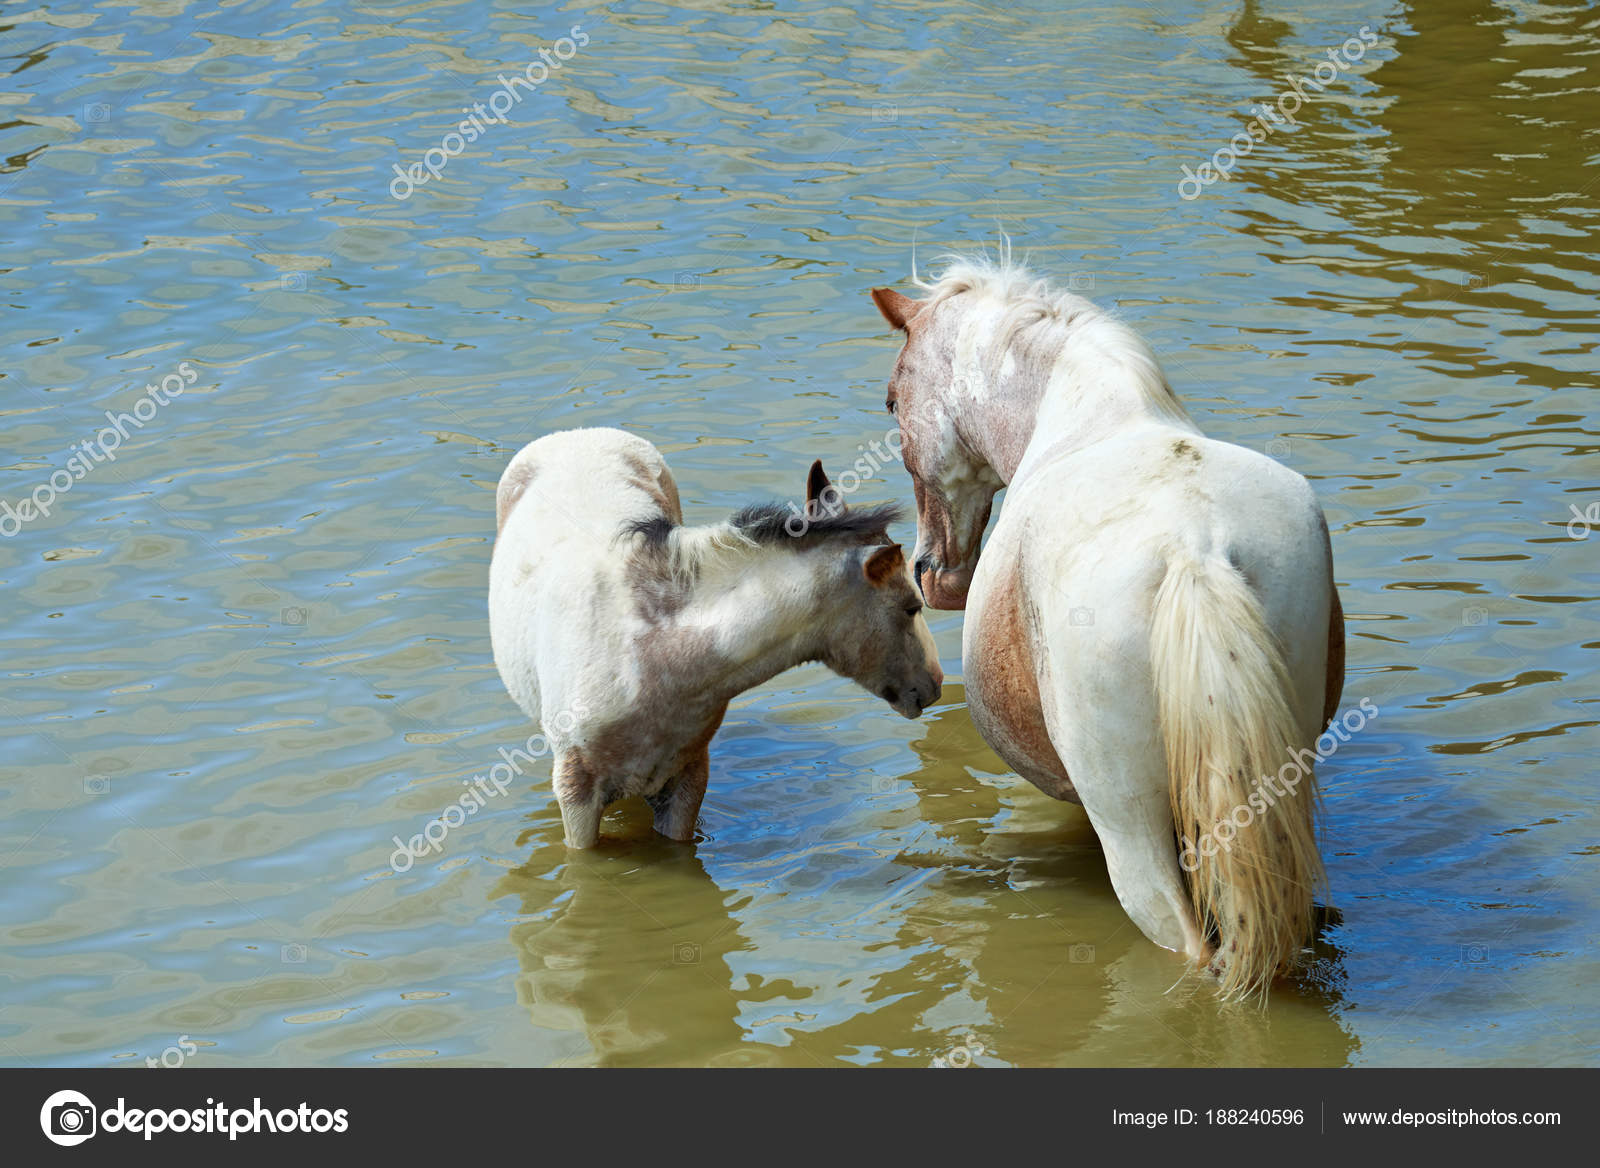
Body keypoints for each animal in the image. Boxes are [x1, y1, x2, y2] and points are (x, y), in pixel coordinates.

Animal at [489, 427, 943, 849]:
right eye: (910, 607)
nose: (935, 683)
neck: (651, 658)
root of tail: (577, 434)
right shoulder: (577, 795)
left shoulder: (688, 779)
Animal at [869, 252, 1344, 998]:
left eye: (892, 402)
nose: (933, 577)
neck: (1090, 415)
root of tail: (1195, 546)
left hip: (1133, 838)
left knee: (1185, 945)